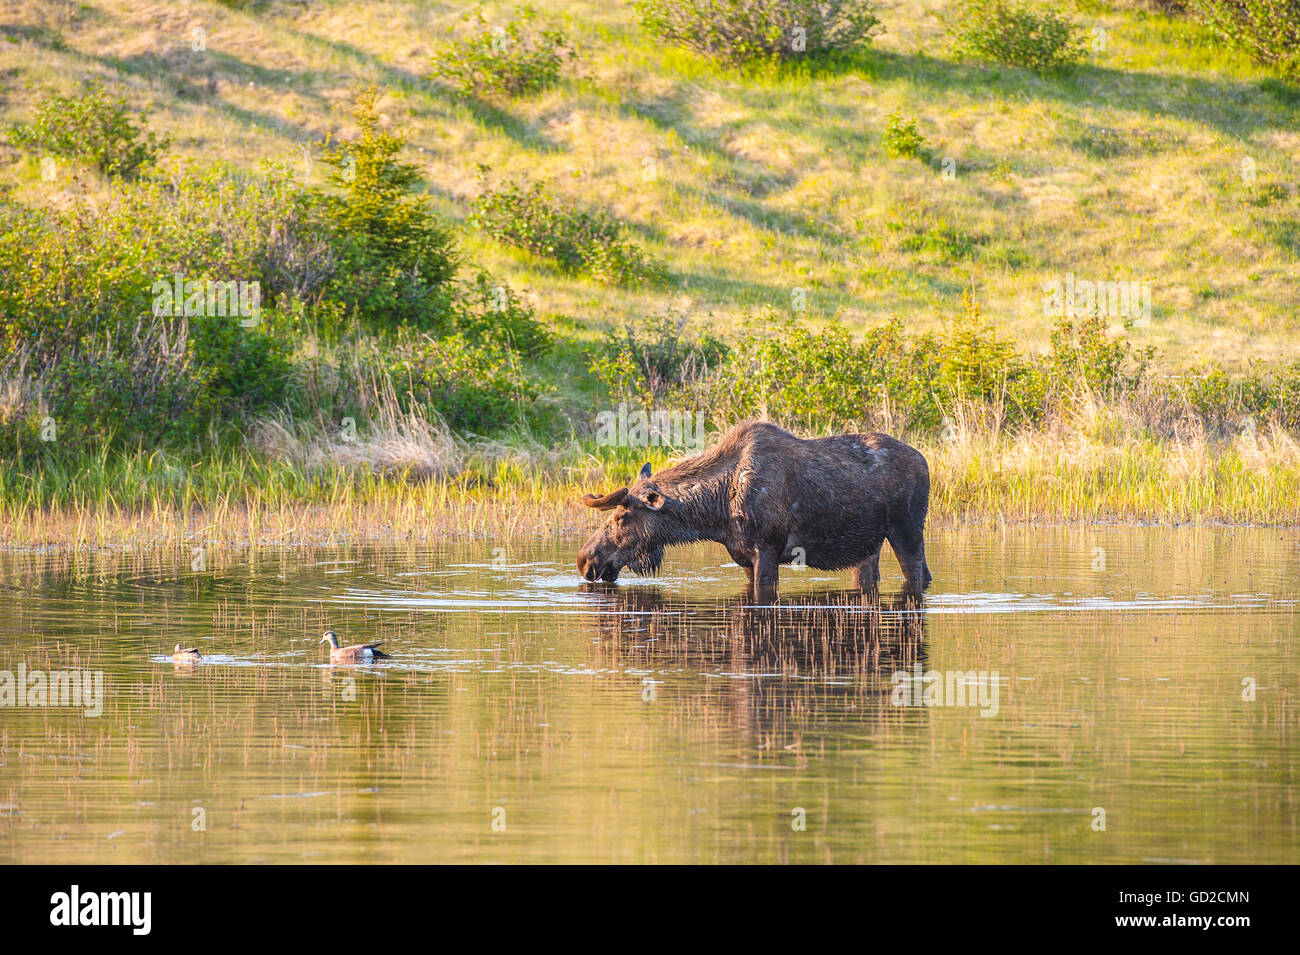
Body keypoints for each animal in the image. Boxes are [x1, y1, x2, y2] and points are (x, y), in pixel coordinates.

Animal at [577, 421, 932, 600]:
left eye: (622, 516)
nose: (585, 559)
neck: (715, 513)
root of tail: (926, 463)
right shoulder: (744, 557)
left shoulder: (767, 548)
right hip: (869, 546)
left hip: (907, 530)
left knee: (918, 575)